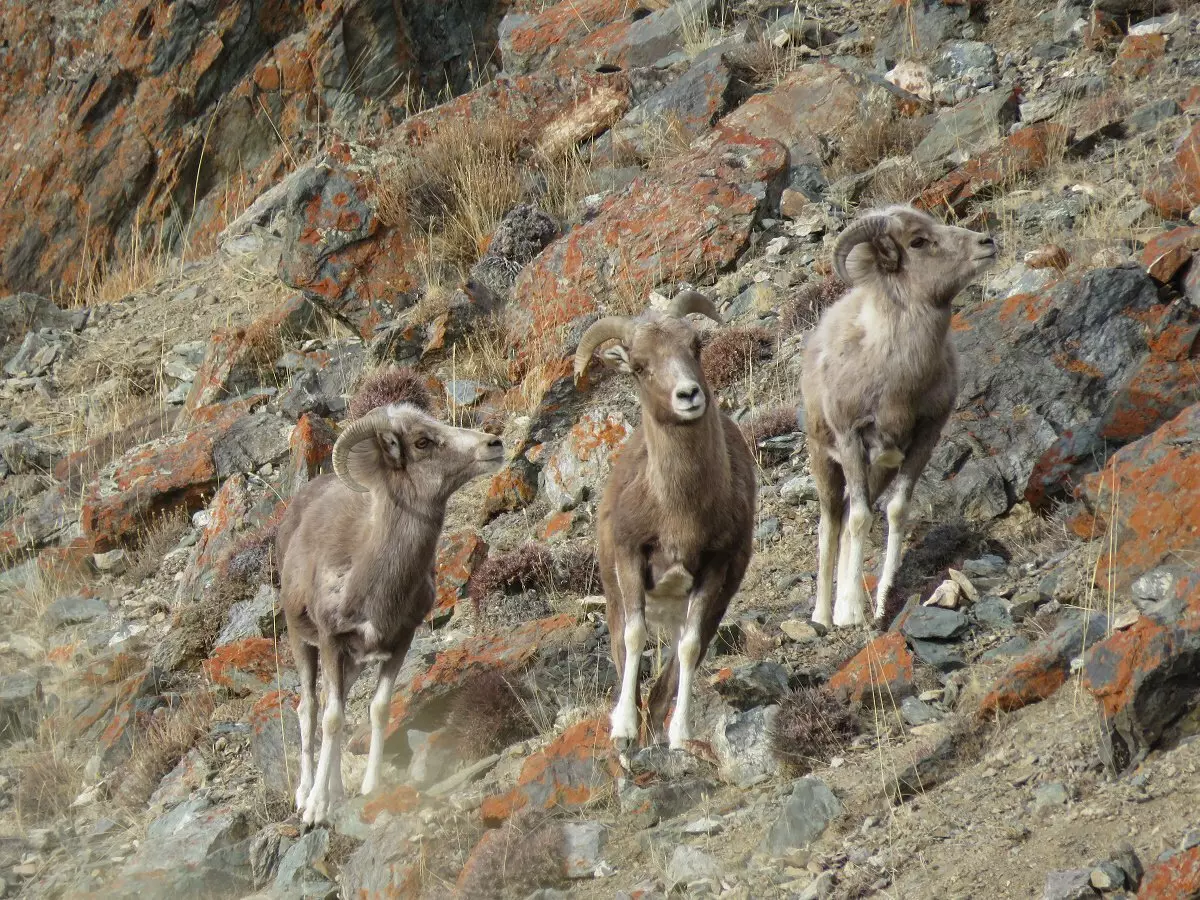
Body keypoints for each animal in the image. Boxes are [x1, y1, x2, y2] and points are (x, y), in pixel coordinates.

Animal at [274, 405, 501, 830]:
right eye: (422, 442)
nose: (494, 444)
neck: (369, 574)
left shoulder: (398, 642)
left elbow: (377, 710)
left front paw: (369, 788)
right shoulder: (330, 641)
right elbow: (330, 718)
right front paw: (315, 810)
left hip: (351, 664)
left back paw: (336, 791)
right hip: (303, 644)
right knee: (309, 709)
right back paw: (305, 795)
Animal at [573, 292, 758, 758]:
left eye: (695, 346)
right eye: (639, 365)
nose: (689, 395)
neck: (678, 512)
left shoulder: (713, 571)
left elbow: (689, 650)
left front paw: (680, 736)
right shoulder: (630, 559)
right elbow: (634, 638)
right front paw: (622, 730)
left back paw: (656, 731)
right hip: (615, 592)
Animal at [801, 204, 998, 628]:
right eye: (918, 241)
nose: (986, 243)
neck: (897, 378)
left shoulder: (923, 439)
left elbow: (895, 511)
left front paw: (877, 606)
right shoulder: (851, 440)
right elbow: (859, 520)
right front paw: (853, 615)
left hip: (879, 469)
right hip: (825, 461)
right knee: (831, 525)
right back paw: (824, 617)